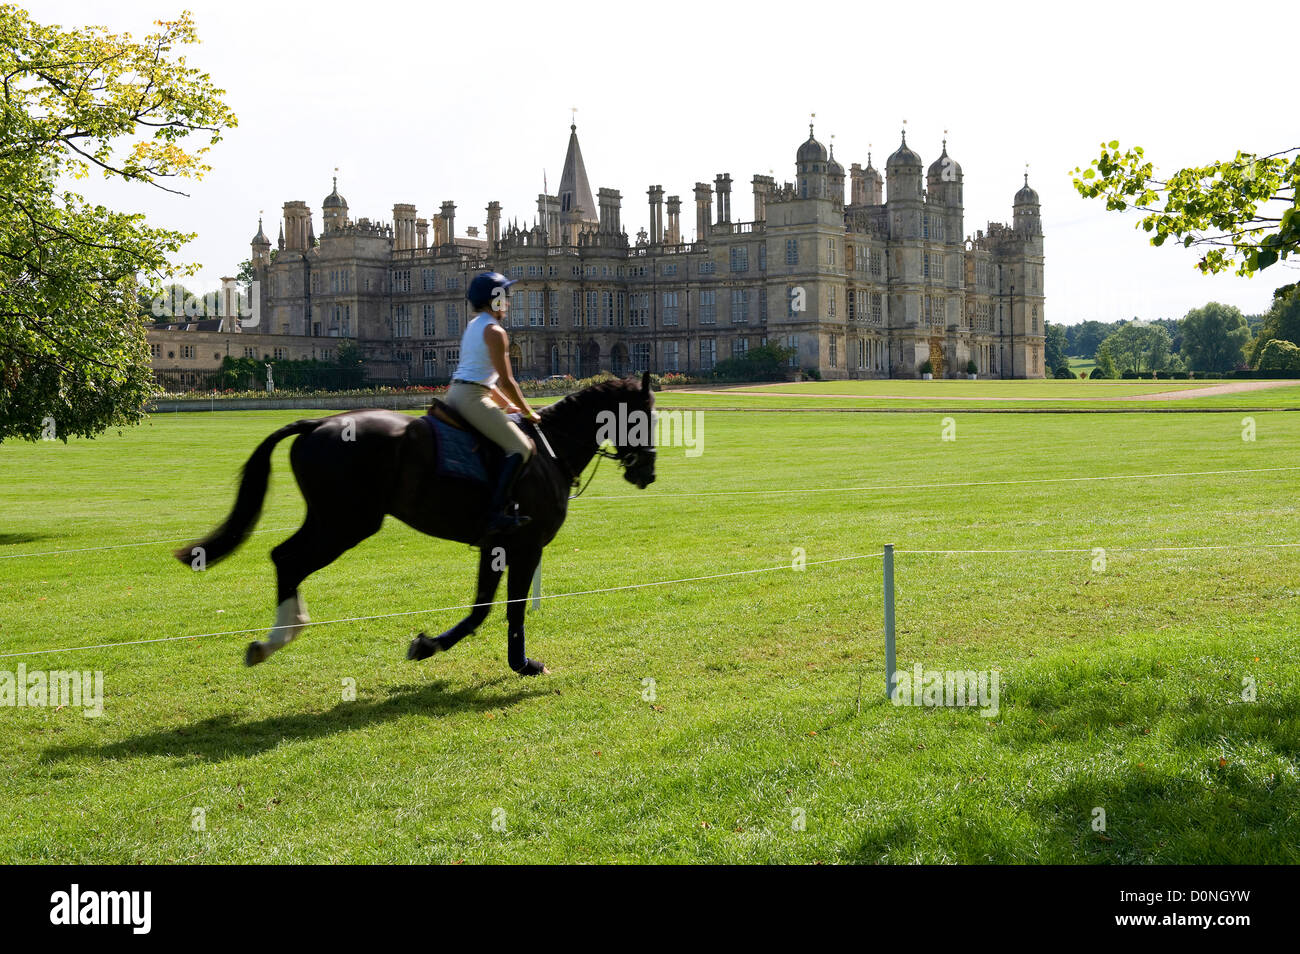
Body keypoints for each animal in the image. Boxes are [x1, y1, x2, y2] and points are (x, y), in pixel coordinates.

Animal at [175, 371, 657, 675]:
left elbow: (482, 607)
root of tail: (319, 421)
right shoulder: (526, 544)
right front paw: (521, 664)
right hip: (347, 523)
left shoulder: (495, 544)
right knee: (289, 558)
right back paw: (276, 638)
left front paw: (430, 645)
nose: (647, 474)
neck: (549, 449)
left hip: (334, 520)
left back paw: (277, 637)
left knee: (285, 557)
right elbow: (510, 607)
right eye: (642, 417)